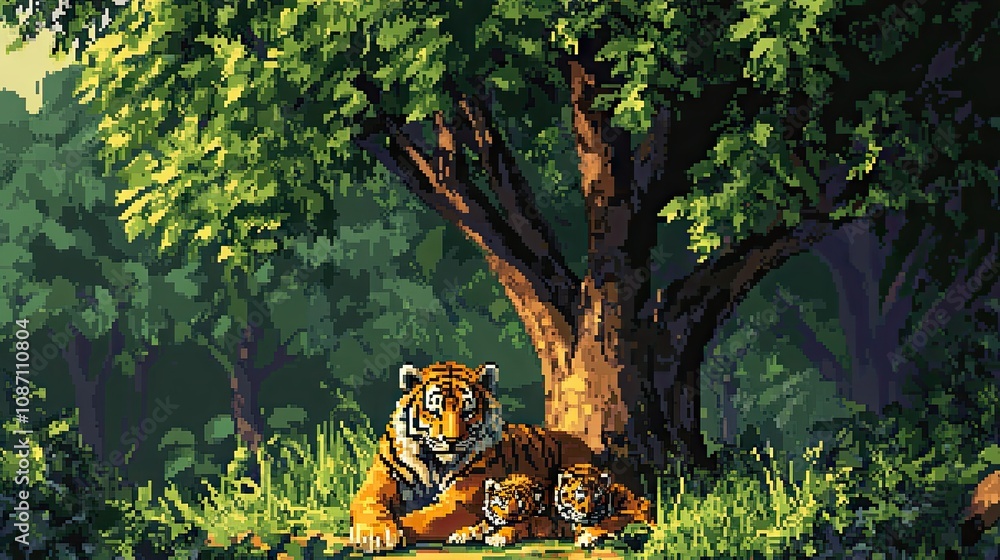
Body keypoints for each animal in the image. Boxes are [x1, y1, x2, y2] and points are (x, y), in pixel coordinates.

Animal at [348, 361, 594, 553]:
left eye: (467, 411)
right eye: (435, 410)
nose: (452, 440)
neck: (435, 463)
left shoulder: (459, 503)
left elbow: (420, 518)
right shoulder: (379, 481)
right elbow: (368, 504)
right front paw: (376, 535)